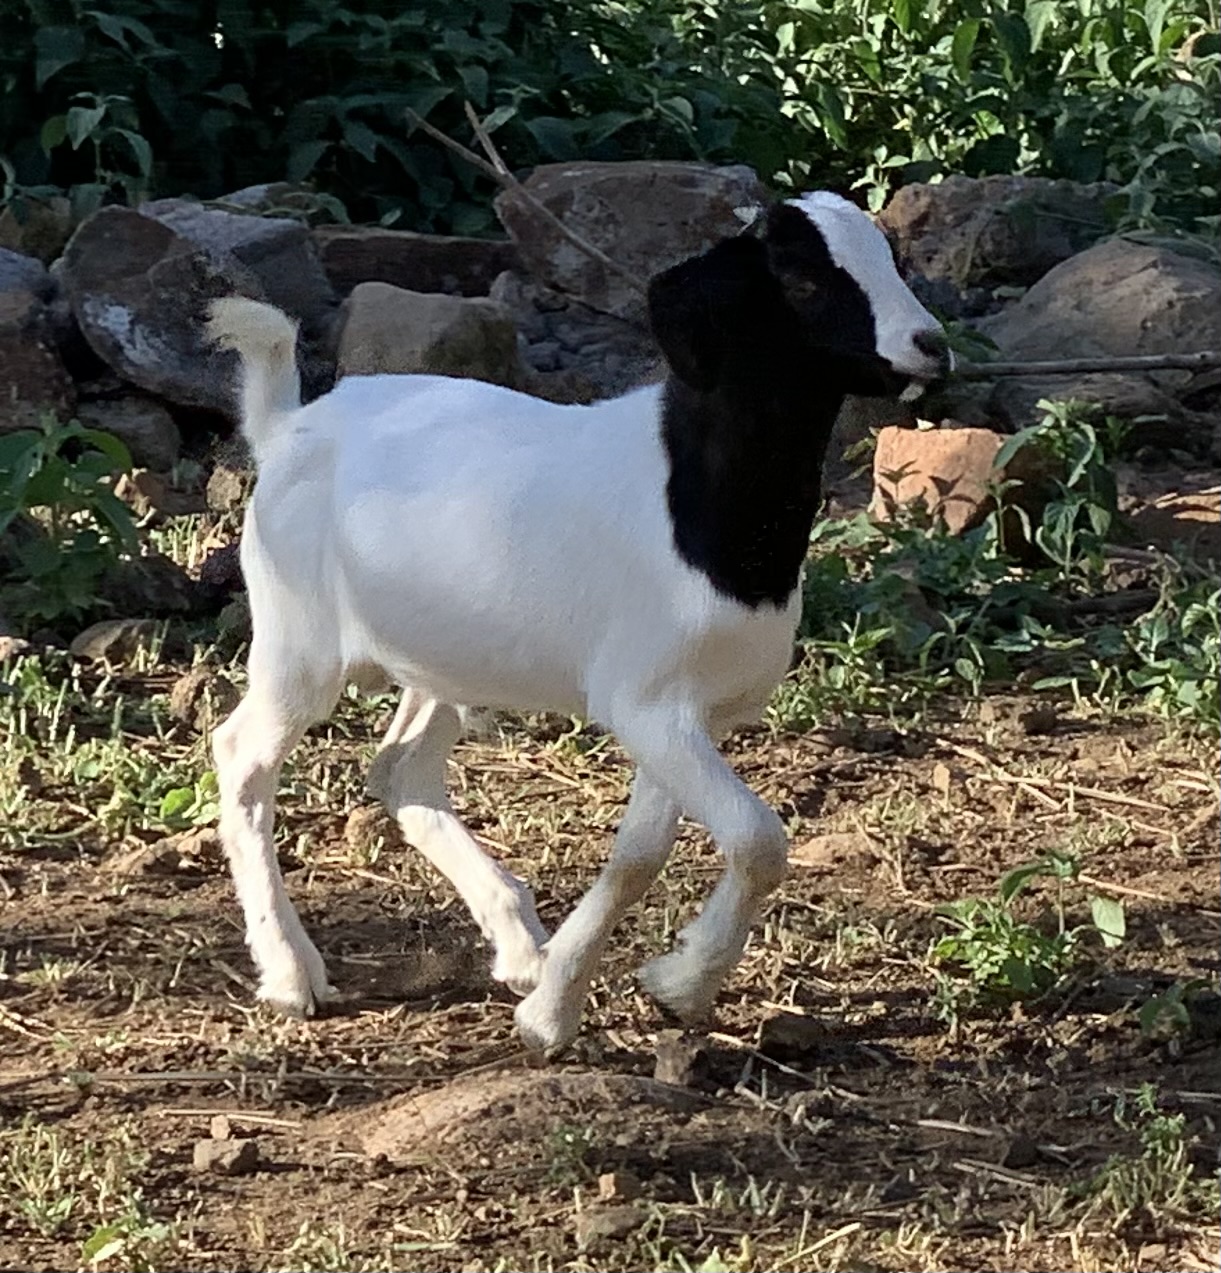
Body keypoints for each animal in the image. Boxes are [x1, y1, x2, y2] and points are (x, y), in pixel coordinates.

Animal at [206, 192, 950, 1053]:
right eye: (799, 279)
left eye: (887, 257)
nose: (931, 346)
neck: (695, 498)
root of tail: (284, 429)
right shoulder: (646, 703)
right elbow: (757, 840)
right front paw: (654, 987)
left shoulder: (684, 715)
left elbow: (640, 855)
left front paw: (600, 995)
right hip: (297, 639)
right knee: (243, 756)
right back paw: (292, 973)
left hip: (444, 658)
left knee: (401, 770)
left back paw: (519, 947)